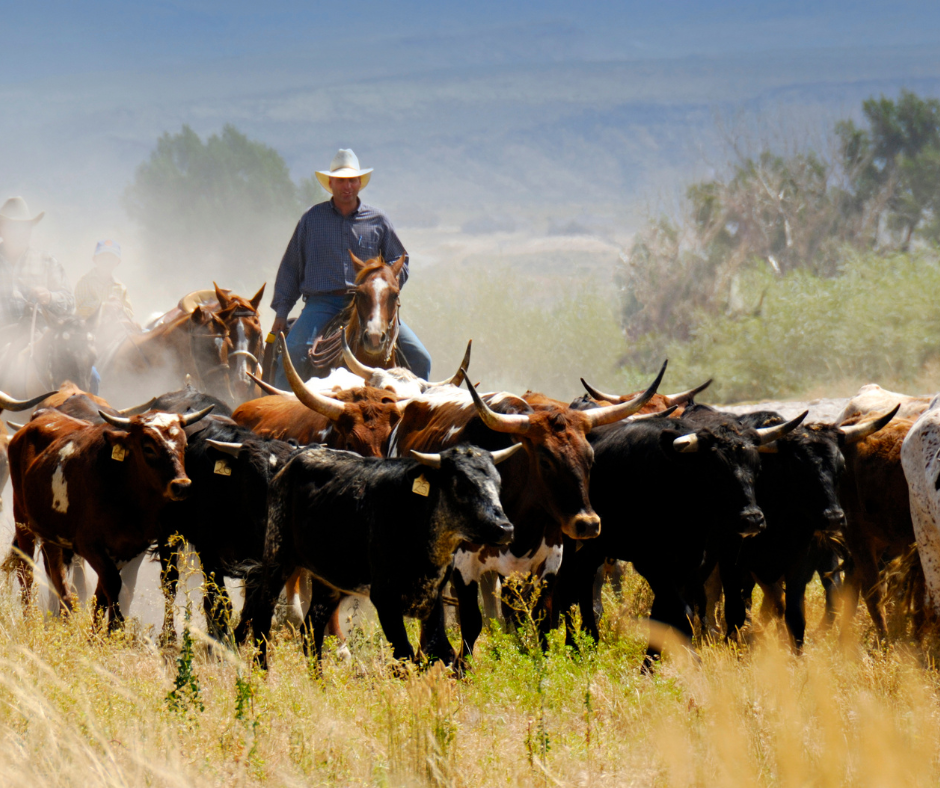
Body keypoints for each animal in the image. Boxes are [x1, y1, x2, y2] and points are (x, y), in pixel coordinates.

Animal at [8, 406, 212, 625]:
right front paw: (114, 627)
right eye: (148, 447)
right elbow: (112, 584)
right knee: (26, 572)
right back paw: (30, 620)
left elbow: (103, 594)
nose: (182, 486)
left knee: (56, 574)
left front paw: (99, 630)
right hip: (23, 522)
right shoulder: (89, 545)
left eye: (184, 444)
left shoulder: (128, 549)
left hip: (50, 534)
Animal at [237, 442, 522, 669]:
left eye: (498, 484)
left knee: (311, 630)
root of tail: (289, 463)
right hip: (277, 557)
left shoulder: (432, 599)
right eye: (462, 485)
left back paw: (320, 683)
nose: (505, 528)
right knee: (262, 619)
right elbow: (405, 655)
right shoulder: (385, 599)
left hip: (327, 581)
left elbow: (438, 652)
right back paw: (261, 673)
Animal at [390, 362, 667, 663]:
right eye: (545, 460)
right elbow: (471, 622)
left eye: (591, 457)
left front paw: (542, 664)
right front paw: (462, 667)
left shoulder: (549, 560)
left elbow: (542, 618)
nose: (588, 524)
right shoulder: (464, 564)